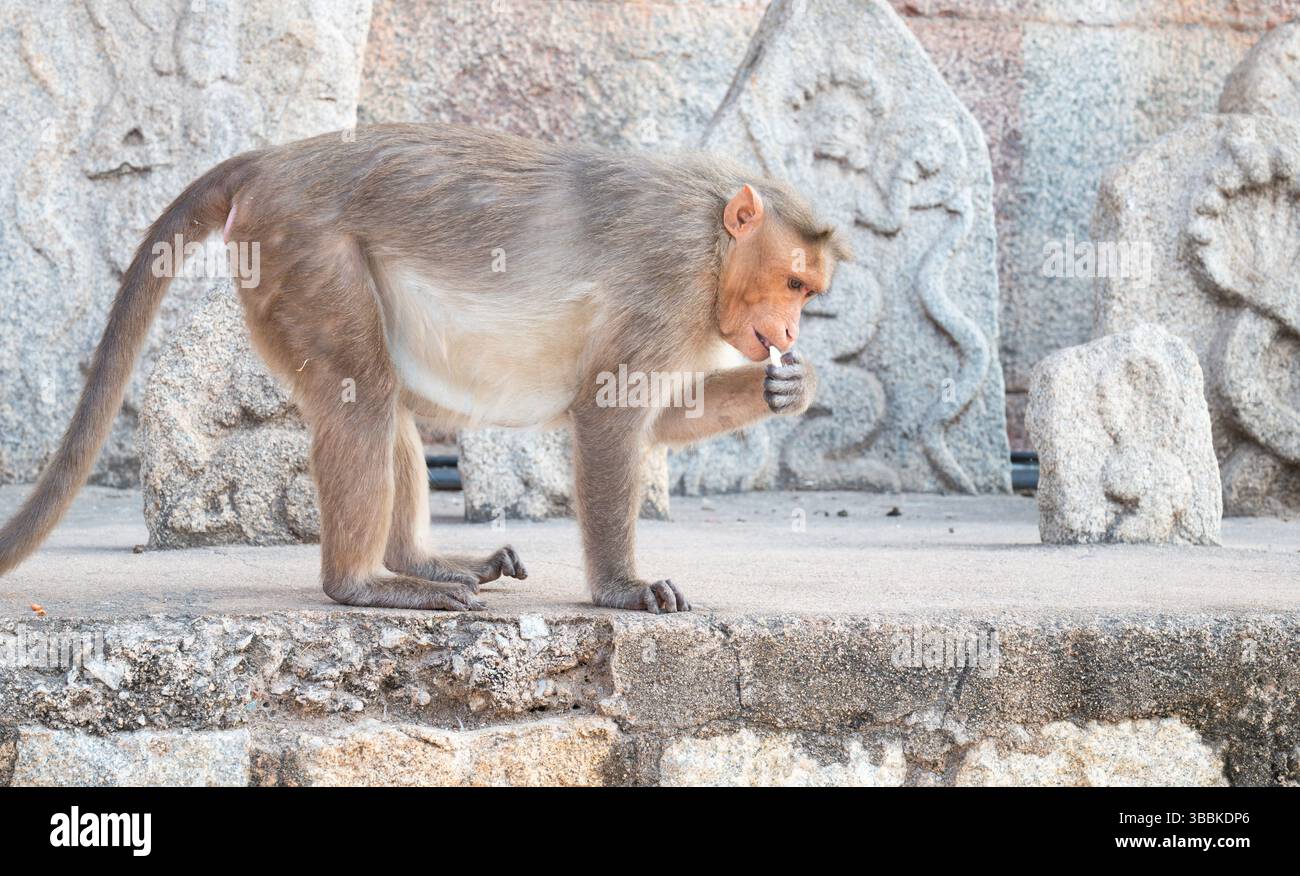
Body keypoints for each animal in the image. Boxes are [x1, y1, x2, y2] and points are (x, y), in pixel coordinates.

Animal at [0, 124, 850, 614]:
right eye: (794, 283)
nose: (787, 329)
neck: (710, 243)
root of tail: (272, 162)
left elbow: (655, 414)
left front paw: (789, 387)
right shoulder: (665, 281)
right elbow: (609, 409)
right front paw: (622, 588)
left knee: (390, 404)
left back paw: (420, 563)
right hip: (300, 252)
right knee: (364, 394)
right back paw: (363, 585)